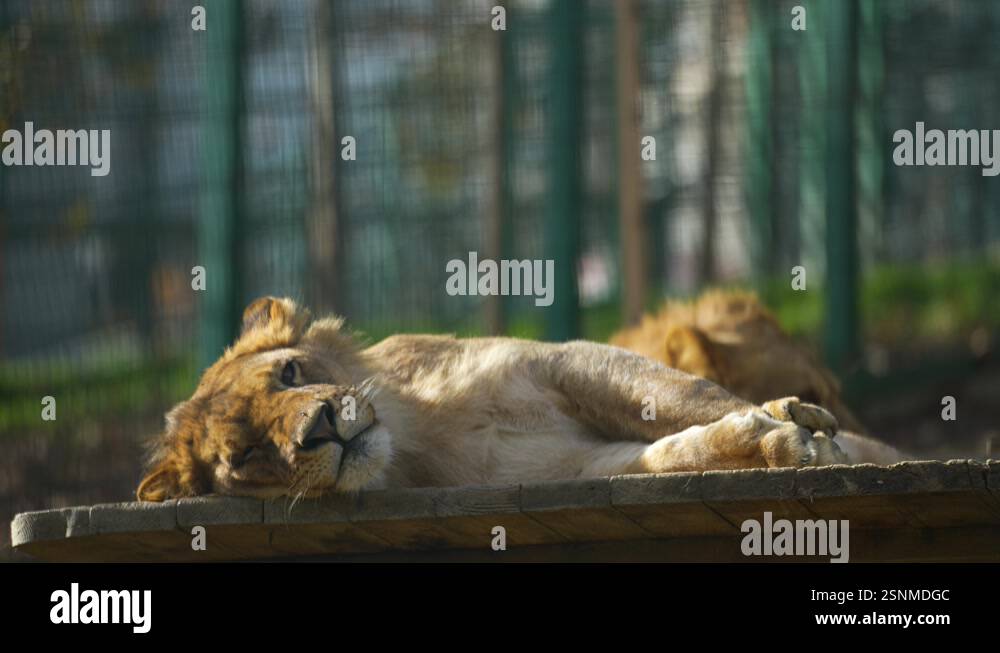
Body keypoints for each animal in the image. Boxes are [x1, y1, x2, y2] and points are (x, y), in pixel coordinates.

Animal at [137, 296, 851, 502]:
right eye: (246, 456)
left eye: (288, 373)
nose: (319, 427)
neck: (417, 438)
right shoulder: (574, 468)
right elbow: (678, 453)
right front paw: (774, 440)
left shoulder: (566, 360)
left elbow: (689, 399)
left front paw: (792, 418)